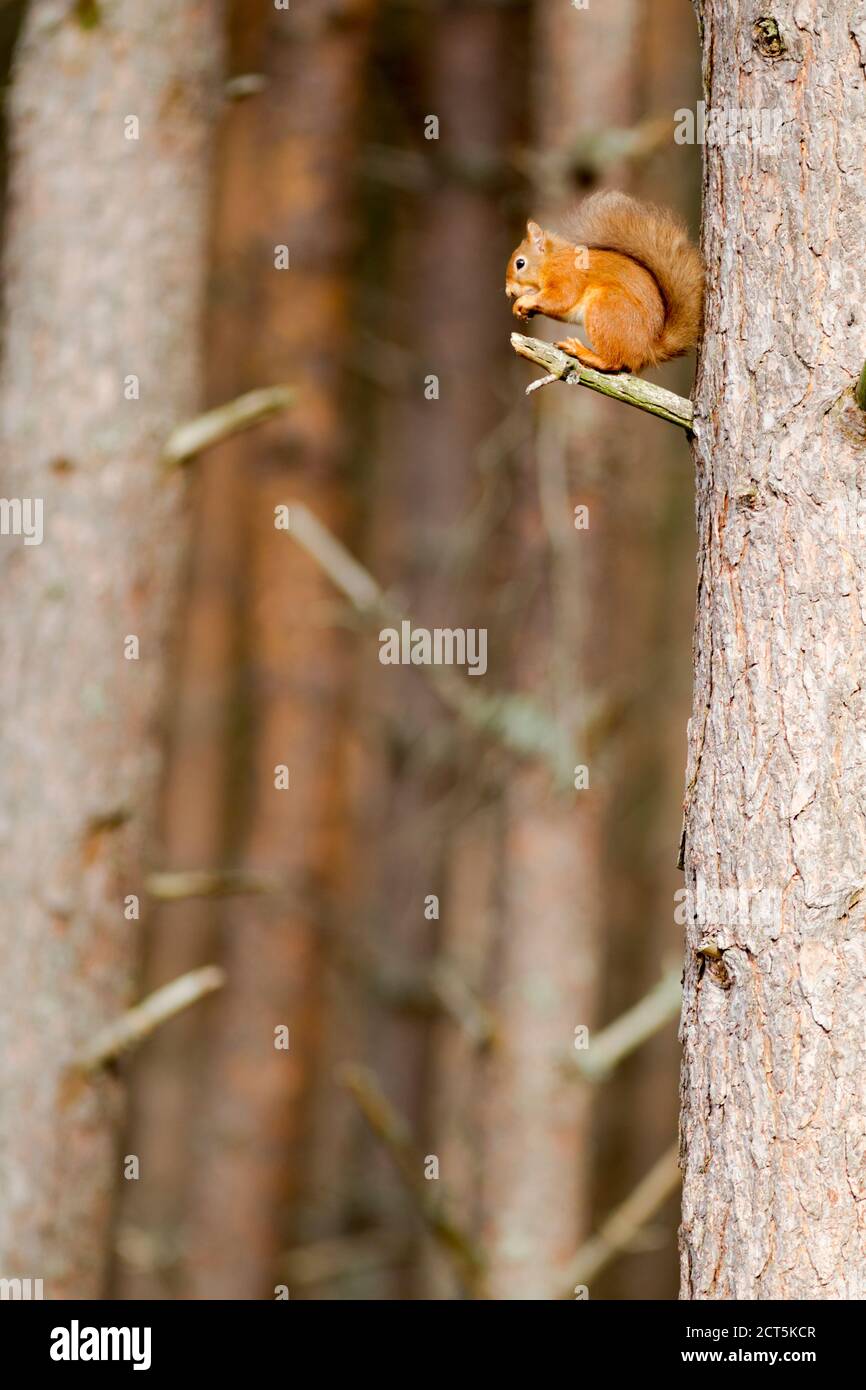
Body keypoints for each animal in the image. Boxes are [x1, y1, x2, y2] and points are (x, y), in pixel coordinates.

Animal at [505, 191, 704, 375]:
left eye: (520, 263)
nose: (509, 292)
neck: (550, 260)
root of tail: (646, 350)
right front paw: (523, 310)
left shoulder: (566, 276)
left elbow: (560, 298)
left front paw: (524, 301)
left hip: (605, 309)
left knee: (613, 362)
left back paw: (584, 353)